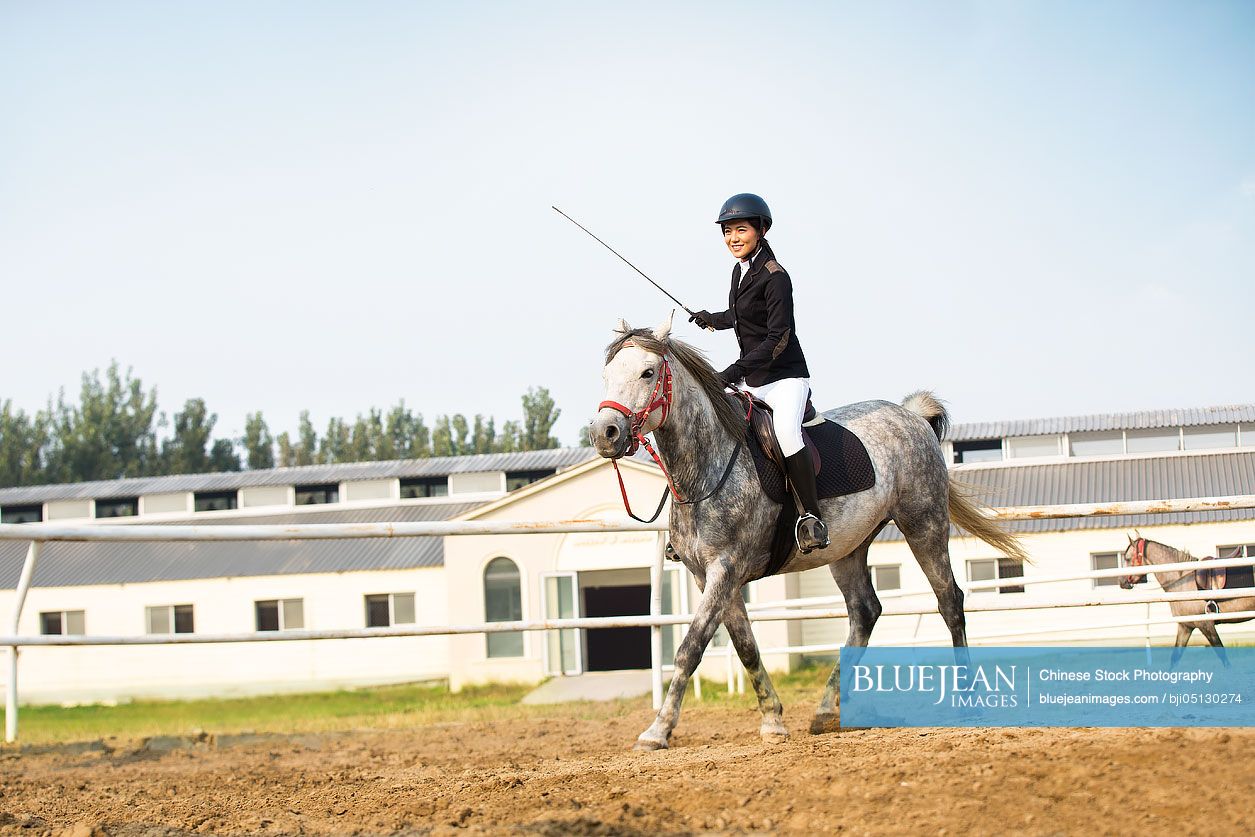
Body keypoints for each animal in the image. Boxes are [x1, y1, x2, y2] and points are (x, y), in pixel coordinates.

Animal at [589, 314, 1027, 750]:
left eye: (647, 372)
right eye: (607, 375)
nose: (604, 433)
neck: (707, 466)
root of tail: (912, 416)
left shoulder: (724, 570)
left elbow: (690, 647)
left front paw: (657, 731)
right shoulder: (706, 577)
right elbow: (746, 648)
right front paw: (772, 720)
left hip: (924, 523)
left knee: (949, 600)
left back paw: (966, 700)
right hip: (849, 548)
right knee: (865, 612)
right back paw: (826, 711)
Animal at [1120, 536, 1255, 665]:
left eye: (1127, 558)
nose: (1122, 582)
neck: (1182, 580)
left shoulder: (1205, 625)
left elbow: (1223, 657)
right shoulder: (1185, 627)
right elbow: (1175, 658)